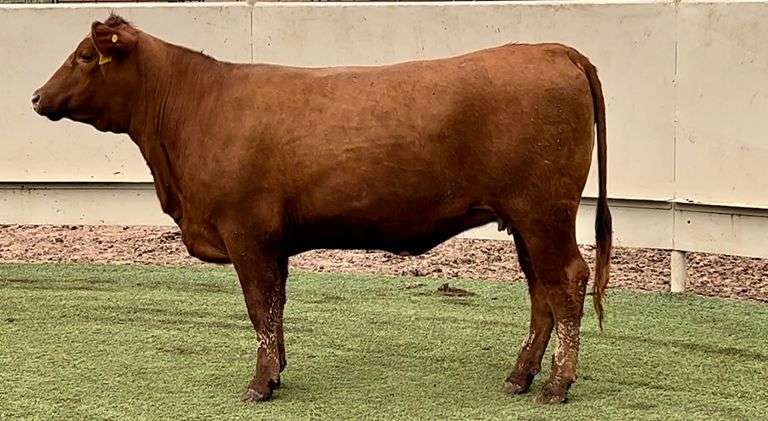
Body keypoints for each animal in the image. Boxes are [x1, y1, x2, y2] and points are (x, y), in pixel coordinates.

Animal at [33, 14, 612, 404]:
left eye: (85, 56)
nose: (37, 96)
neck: (192, 108)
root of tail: (554, 49)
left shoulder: (247, 233)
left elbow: (258, 307)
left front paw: (259, 384)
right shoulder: (272, 242)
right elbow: (274, 307)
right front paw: (277, 371)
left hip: (545, 212)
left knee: (566, 283)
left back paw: (557, 385)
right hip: (526, 221)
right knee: (540, 292)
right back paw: (519, 377)